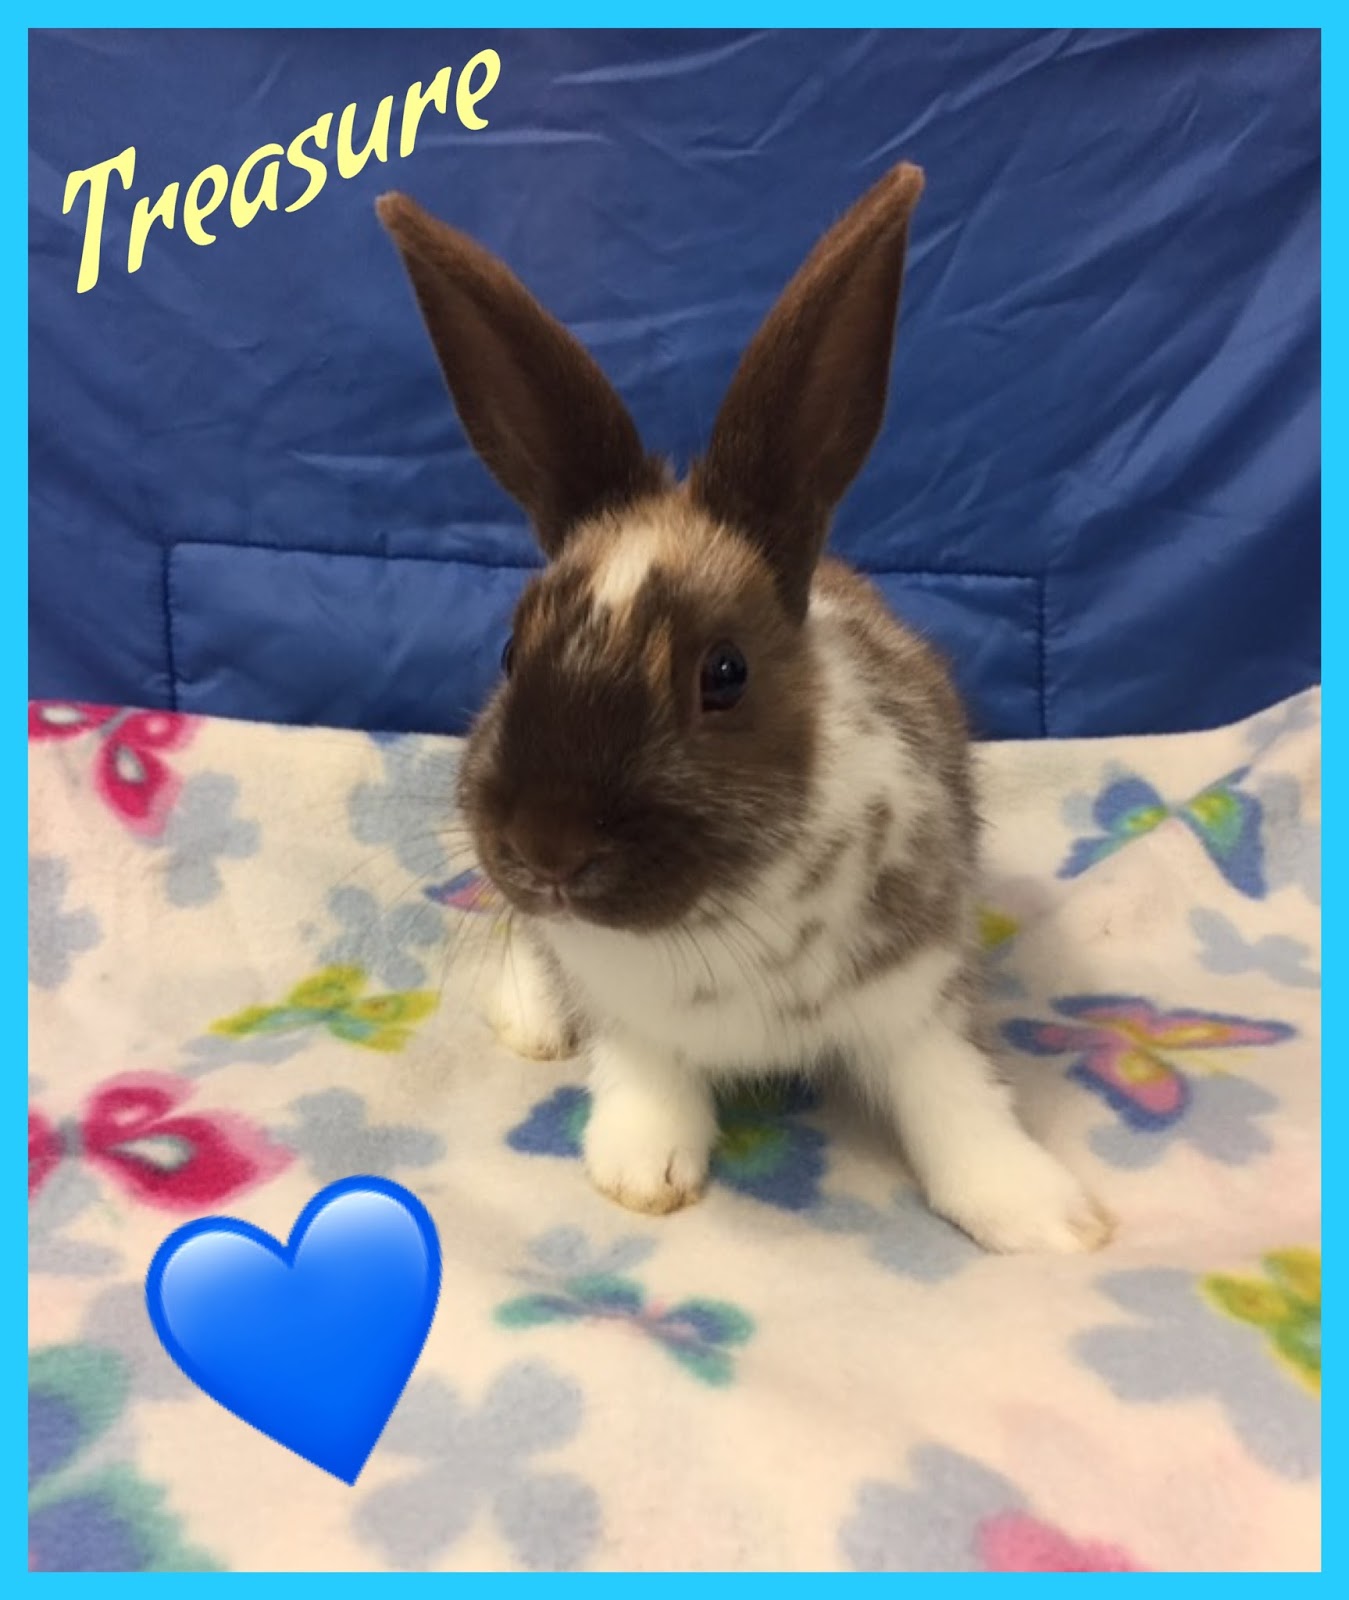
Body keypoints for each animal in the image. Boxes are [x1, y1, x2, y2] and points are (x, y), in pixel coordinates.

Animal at [376, 163, 1113, 1254]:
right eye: (510, 653)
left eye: (723, 674)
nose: (544, 852)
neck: (724, 912)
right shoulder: (625, 1008)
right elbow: (643, 1071)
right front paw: (640, 1169)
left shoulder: (917, 996)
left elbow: (955, 1098)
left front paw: (1039, 1214)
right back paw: (531, 1020)